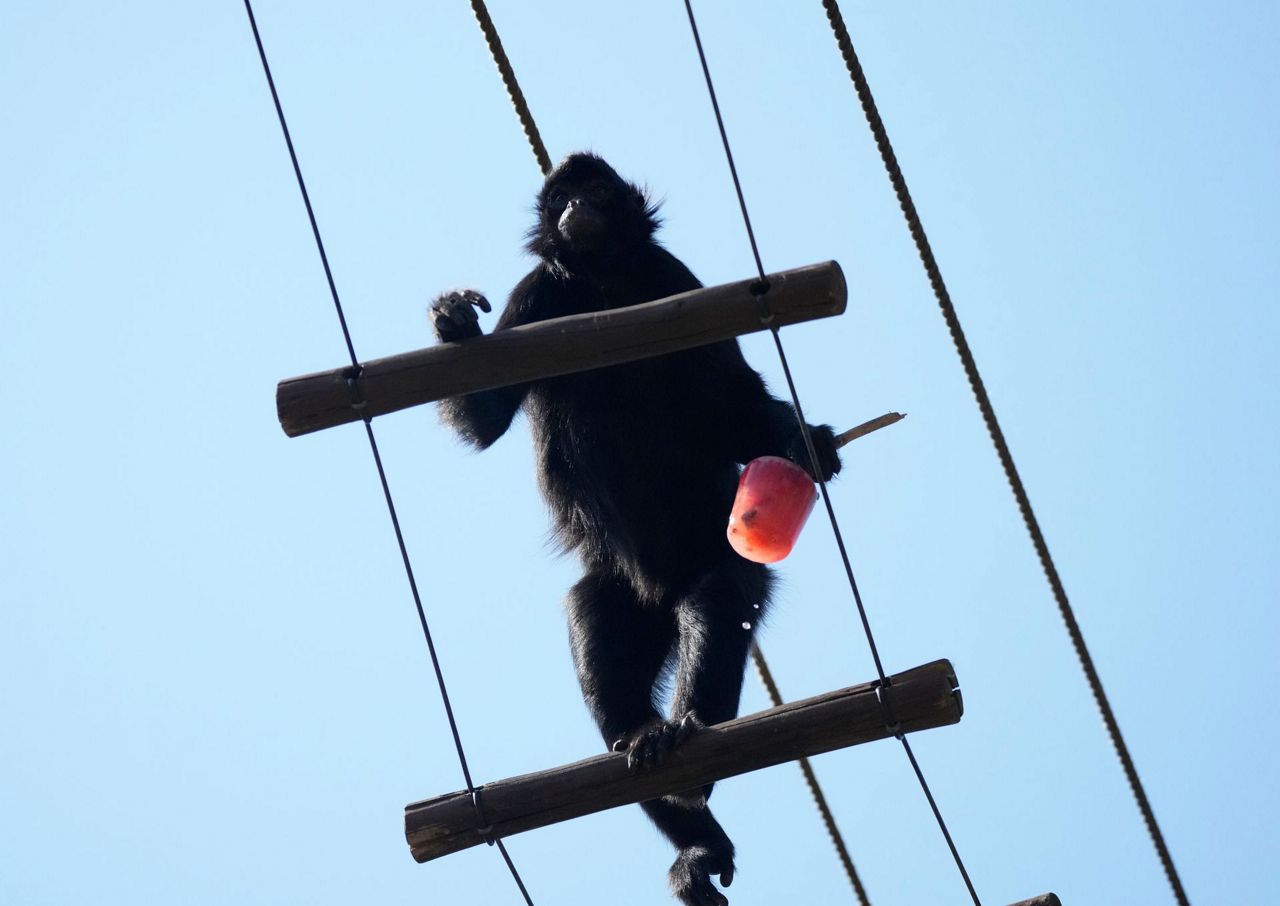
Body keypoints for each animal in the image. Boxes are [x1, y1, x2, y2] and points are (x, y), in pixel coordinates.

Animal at [430, 153, 841, 906]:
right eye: (561, 198)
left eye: (592, 192)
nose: (573, 209)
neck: (603, 286)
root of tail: (660, 588)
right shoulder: (537, 294)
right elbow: (486, 416)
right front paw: (454, 325)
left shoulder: (673, 279)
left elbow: (734, 400)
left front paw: (809, 443)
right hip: (619, 593)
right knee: (600, 642)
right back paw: (675, 796)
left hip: (716, 551)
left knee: (718, 598)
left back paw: (686, 736)